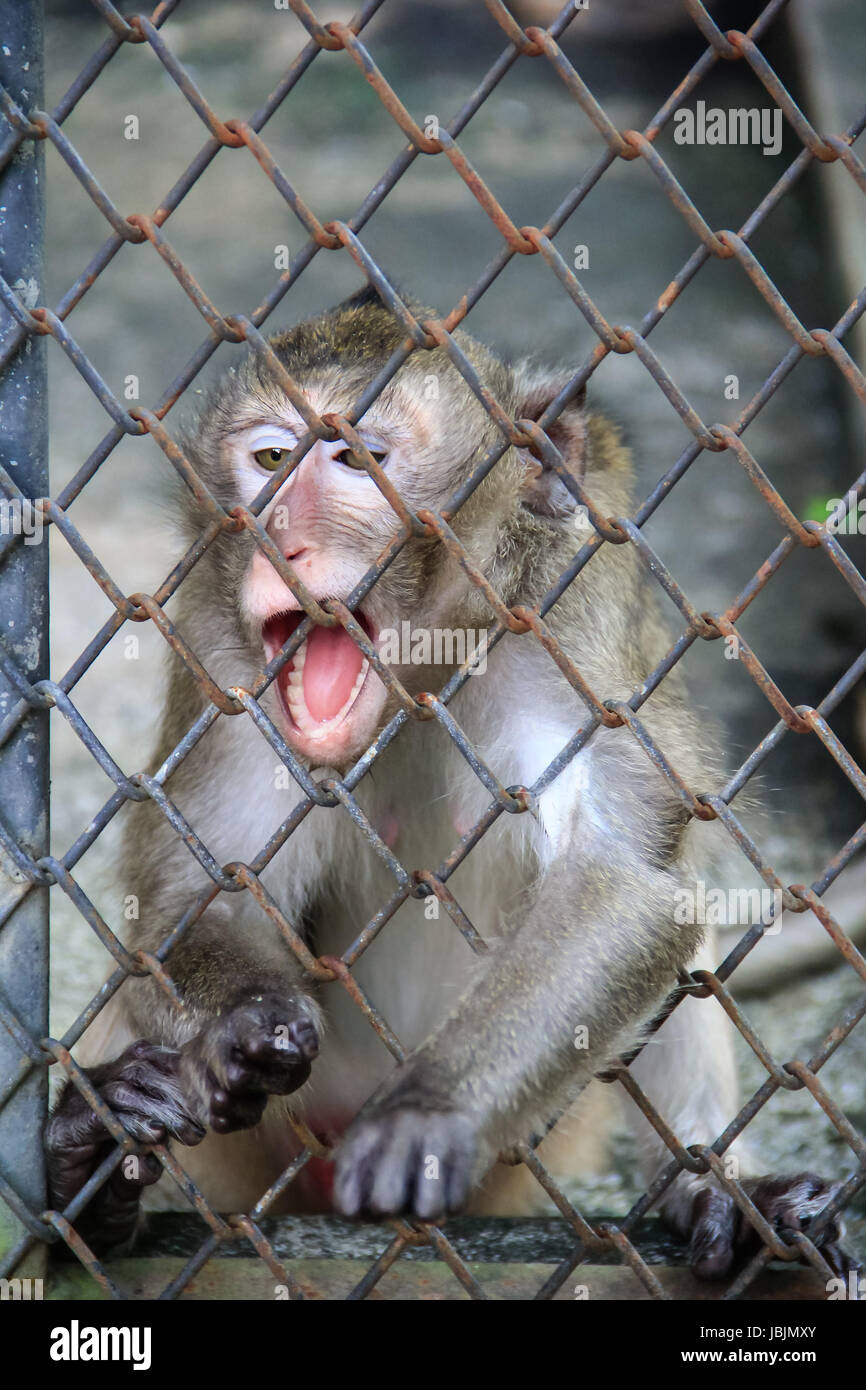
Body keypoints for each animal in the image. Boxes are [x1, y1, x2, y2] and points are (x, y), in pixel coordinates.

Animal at [46, 286, 857, 1282]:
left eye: (358, 461)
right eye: (271, 459)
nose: (284, 540)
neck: (423, 675)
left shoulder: (564, 614)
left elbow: (625, 877)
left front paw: (430, 1111)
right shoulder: (216, 646)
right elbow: (203, 887)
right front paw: (245, 1024)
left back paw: (712, 1191)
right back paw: (92, 1158)